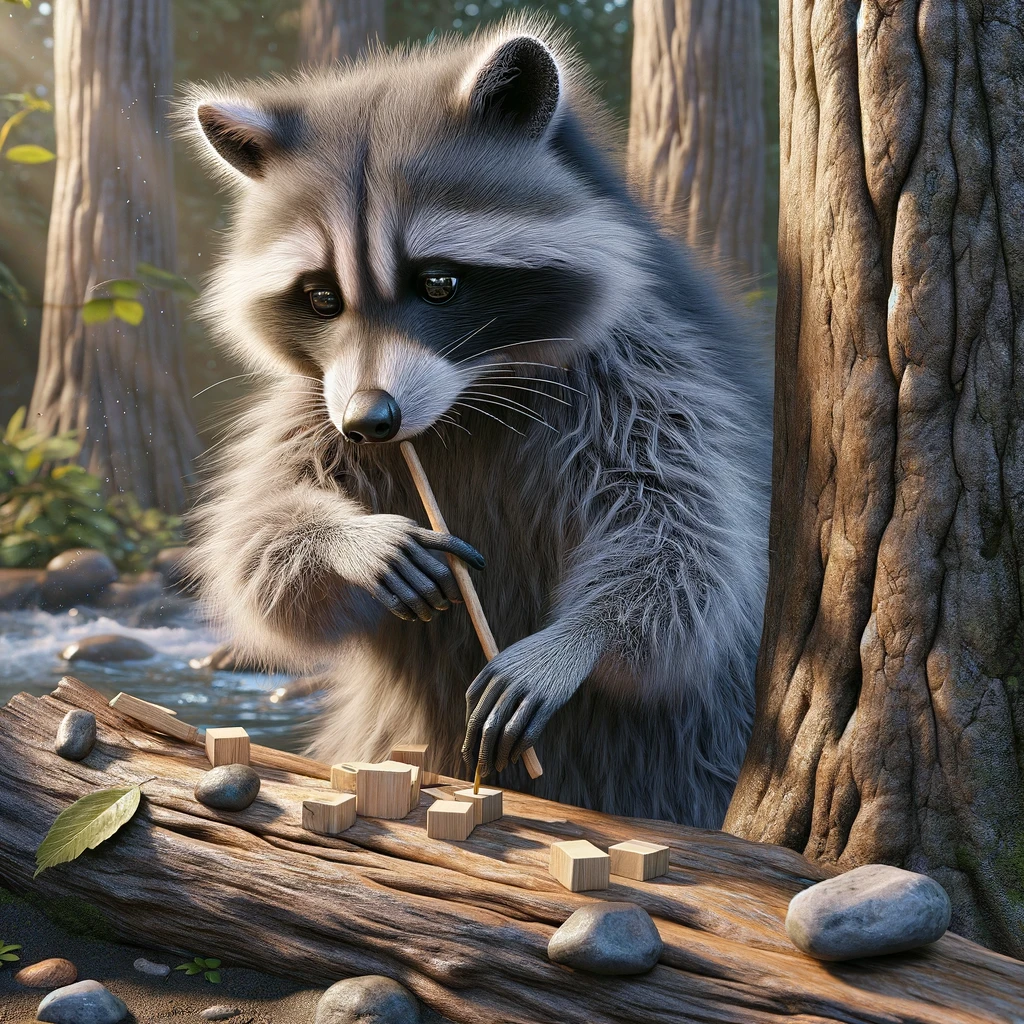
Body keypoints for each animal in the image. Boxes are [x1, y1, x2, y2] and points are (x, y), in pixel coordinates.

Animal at [182, 17, 770, 828]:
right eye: (322, 297)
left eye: (439, 283)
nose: (371, 422)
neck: (468, 399)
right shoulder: (316, 403)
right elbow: (257, 538)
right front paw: (353, 541)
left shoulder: (646, 370)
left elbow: (683, 538)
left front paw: (573, 642)